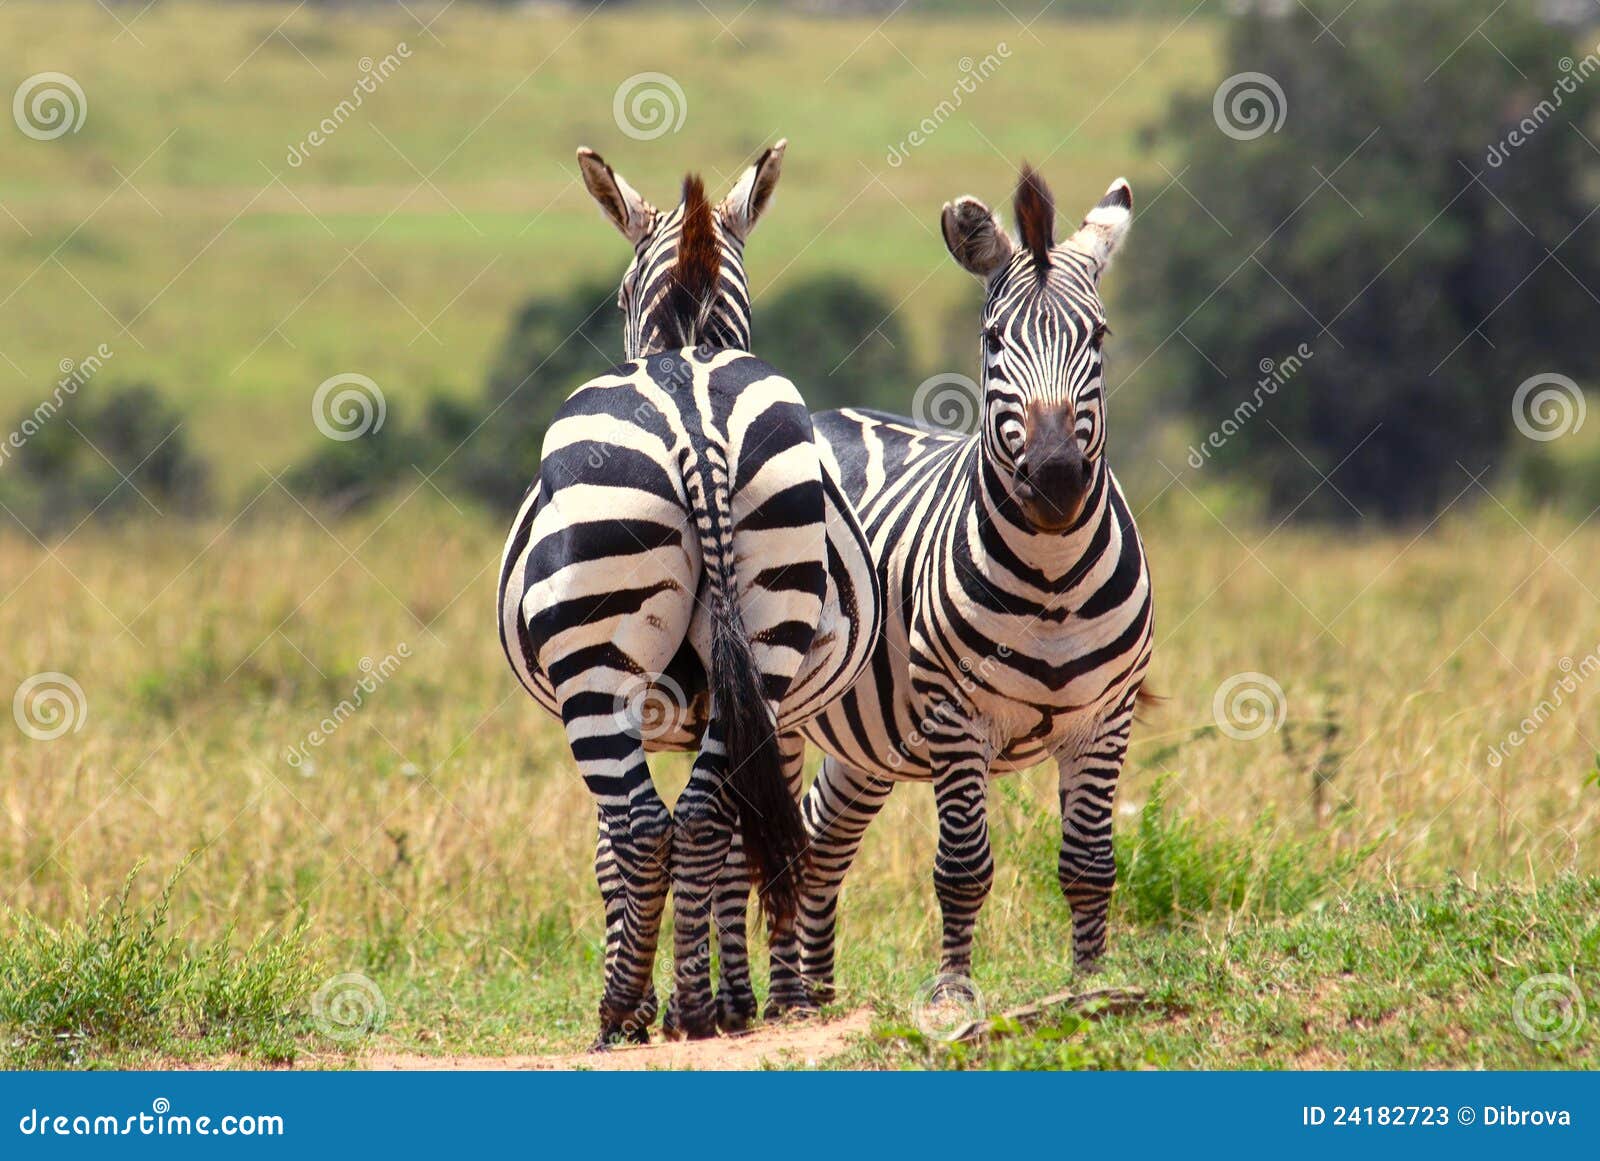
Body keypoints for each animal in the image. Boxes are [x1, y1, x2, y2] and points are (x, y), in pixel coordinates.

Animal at [496, 141, 880, 1046]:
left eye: (618, 296)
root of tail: (694, 413)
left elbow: (609, 852)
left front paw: (663, 999)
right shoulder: (777, 711)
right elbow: (748, 839)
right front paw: (750, 996)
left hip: (593, 665)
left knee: (644, 828)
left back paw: (622, 1008)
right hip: (770, 631)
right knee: (706, 817)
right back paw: (704, 1007)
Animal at [760, 165, 1155, 1010]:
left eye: (1100, 337)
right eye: (994, 340)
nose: (1056, 476)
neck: (1052, 578)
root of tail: (824, 414)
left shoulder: (1106, 716)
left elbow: (1089, 864)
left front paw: (1091, 985)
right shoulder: (954, 714)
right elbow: (963, 866)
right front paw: (952, 993)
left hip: (868, 741)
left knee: (821, 838)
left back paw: (816, 992)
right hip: (781, 704)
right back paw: (783, 999)